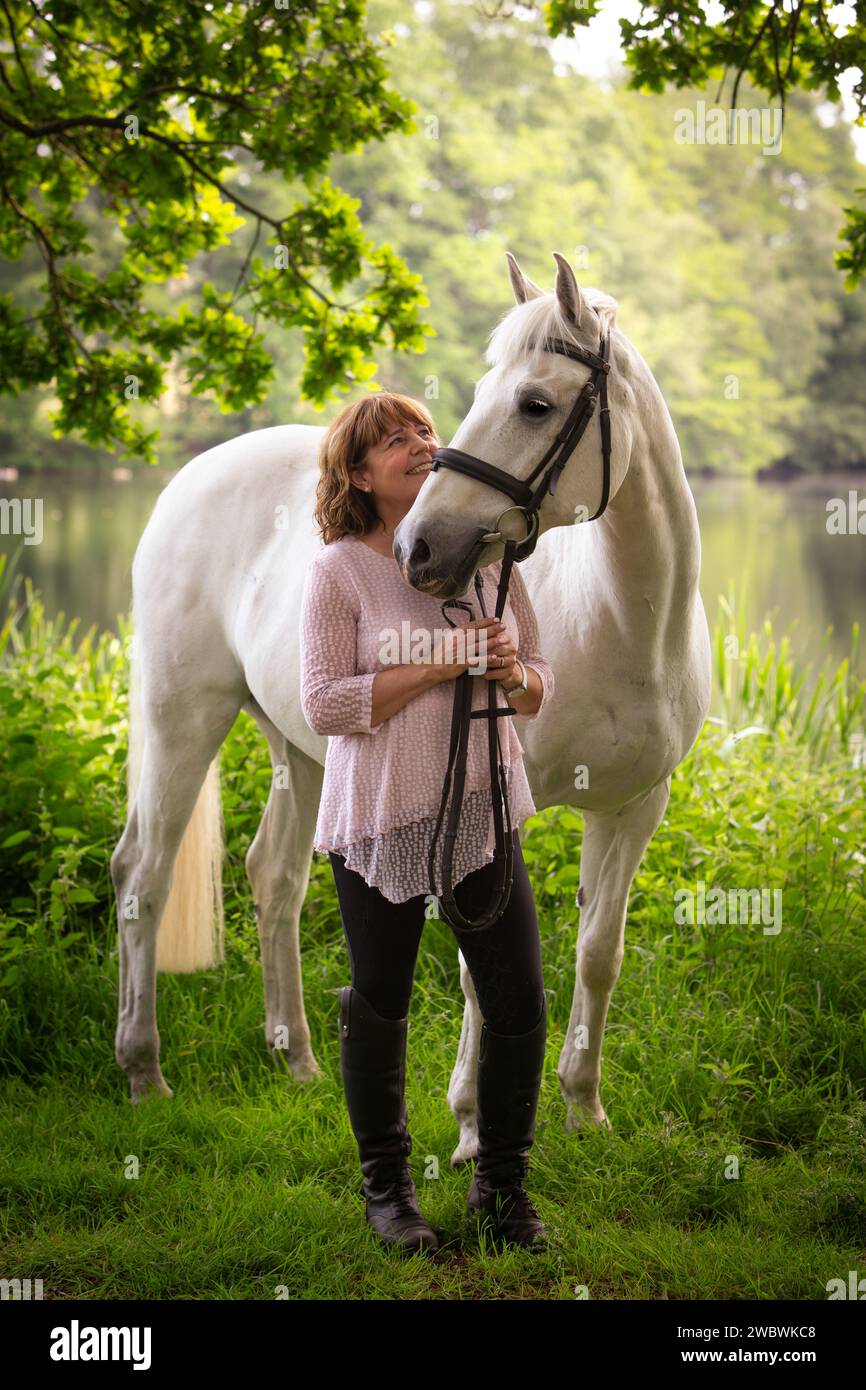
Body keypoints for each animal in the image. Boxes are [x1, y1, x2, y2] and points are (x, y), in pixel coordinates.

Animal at [112, 250, 711, 1165]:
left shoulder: (636, 808)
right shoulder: (491, 805)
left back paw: (298, 1061)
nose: (419, 548)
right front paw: (471, 1126)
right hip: (183, 718)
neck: (624, 623)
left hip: (303, 747)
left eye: (535, 403)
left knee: (273, 877)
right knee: (143, 875)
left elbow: (597, 954)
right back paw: (144, 1073)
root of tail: (194, 473)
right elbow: (479, 967)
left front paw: (585, 1108)